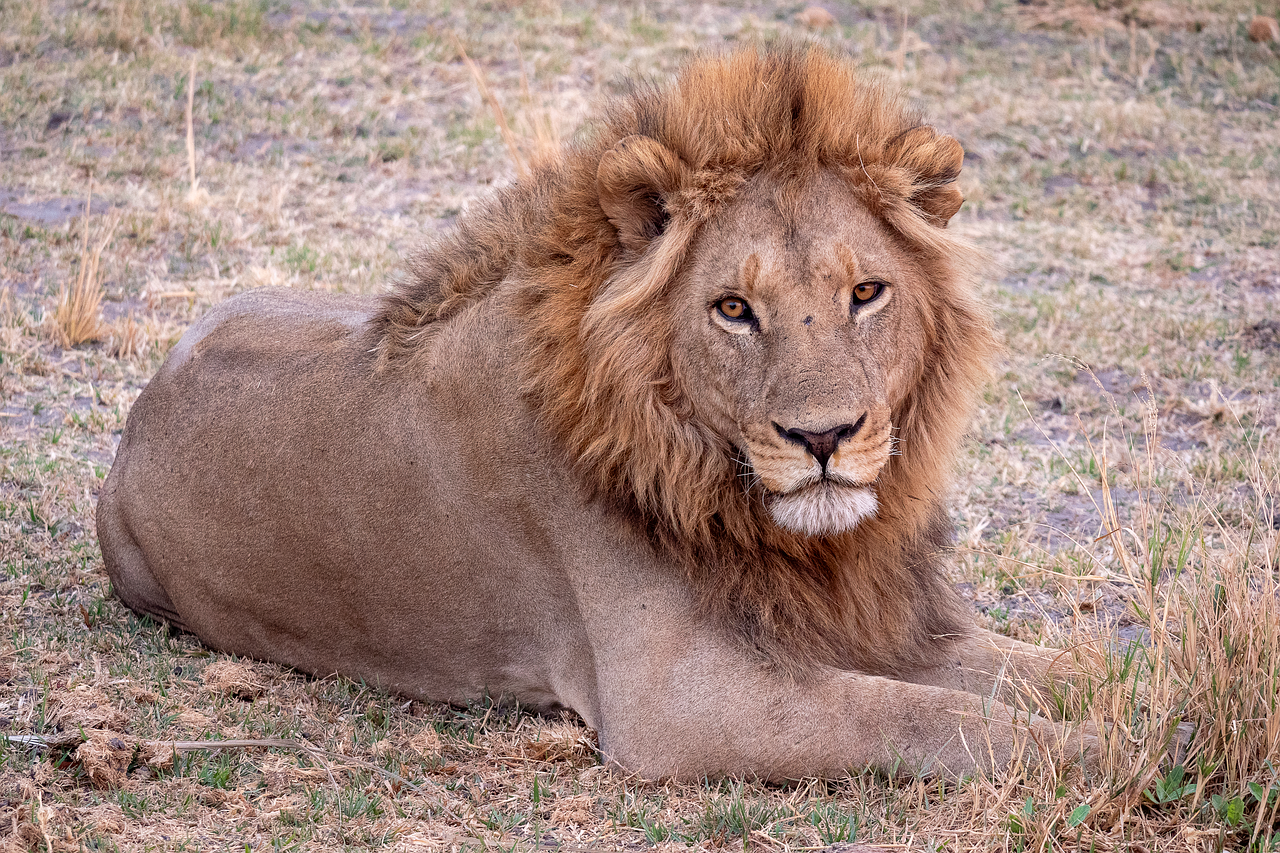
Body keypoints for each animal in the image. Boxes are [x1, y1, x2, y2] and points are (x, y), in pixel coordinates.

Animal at [97, 45, 1094, 781]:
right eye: (734, 308)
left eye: (866, 292)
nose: (823, 438)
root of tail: (135, 421)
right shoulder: (680, 703)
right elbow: (929, 717)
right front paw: (1104, 754)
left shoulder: (882, 620)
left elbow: (1066, 669)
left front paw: (1124, 712)